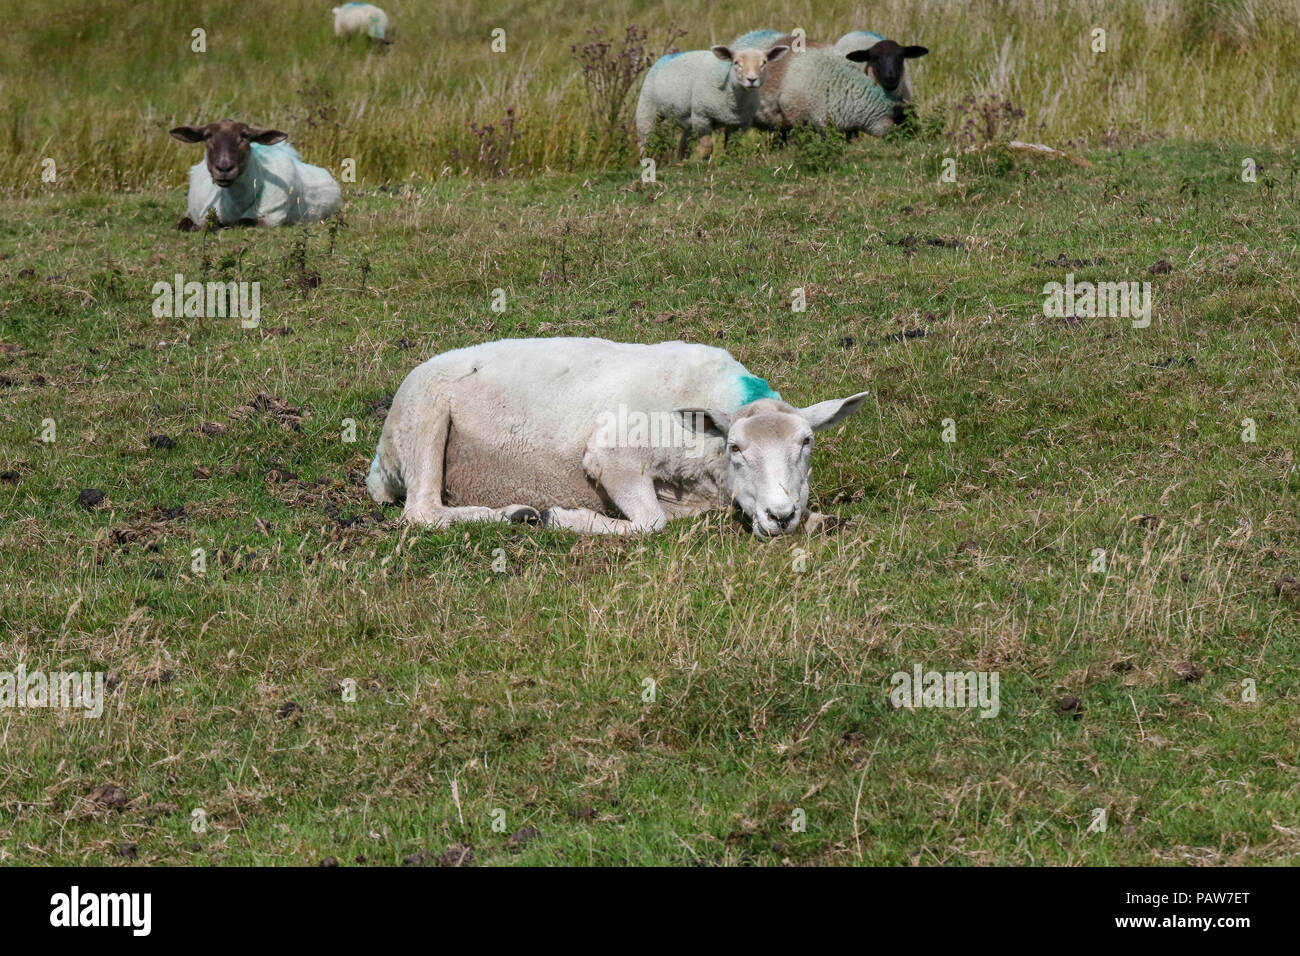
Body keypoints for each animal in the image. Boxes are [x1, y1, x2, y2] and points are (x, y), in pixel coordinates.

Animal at [169, 120, 342, 230]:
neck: (237, 202)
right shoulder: (206, 215)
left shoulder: (270, 217)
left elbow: (242, 222)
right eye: (206, 137)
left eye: (245, 136)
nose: (224, 168)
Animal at [368, 337, 869, 537]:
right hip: (423, 415)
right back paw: (516, 514)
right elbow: (652, 525)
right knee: (422, 512)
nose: (780, 516)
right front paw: (564, 518)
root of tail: (380, 467)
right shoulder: (612, 457)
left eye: (807, 444)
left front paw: (820, 519)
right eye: (736, 448)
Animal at [635, 44, 789, 159]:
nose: (751, 79)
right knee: (644, 139)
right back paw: (645, 160)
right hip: (647, 107)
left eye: (764, 63)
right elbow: (707, 148)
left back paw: (681, 162)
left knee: (683, 144)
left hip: (688, 119)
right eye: (736, 63)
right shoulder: (702, 116)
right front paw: (703, 164)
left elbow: (732, 147)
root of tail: (666, 57)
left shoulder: (741, 123)